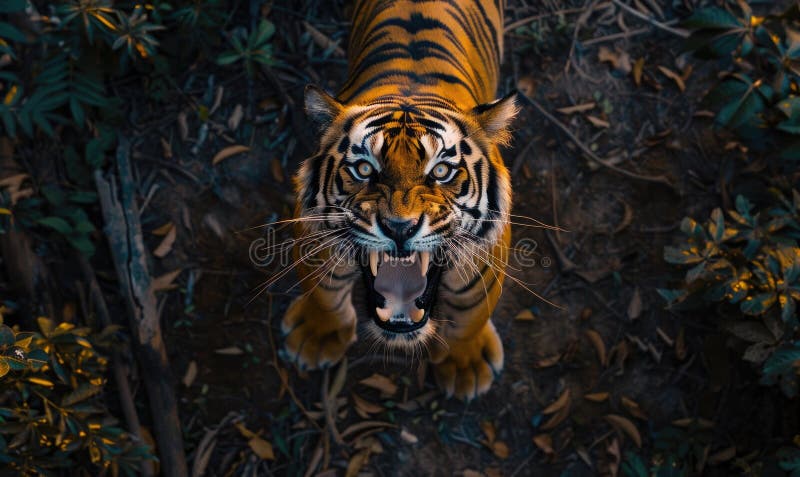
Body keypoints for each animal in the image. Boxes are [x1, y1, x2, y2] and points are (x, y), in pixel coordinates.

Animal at [281, 0, 518, 400]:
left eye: (442, 171)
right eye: (364, 168)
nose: (399, 228)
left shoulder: (485, 261)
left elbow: (471, 311)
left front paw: (466, 366)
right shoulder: (315, 239)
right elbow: (322, 290)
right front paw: (315, 337)